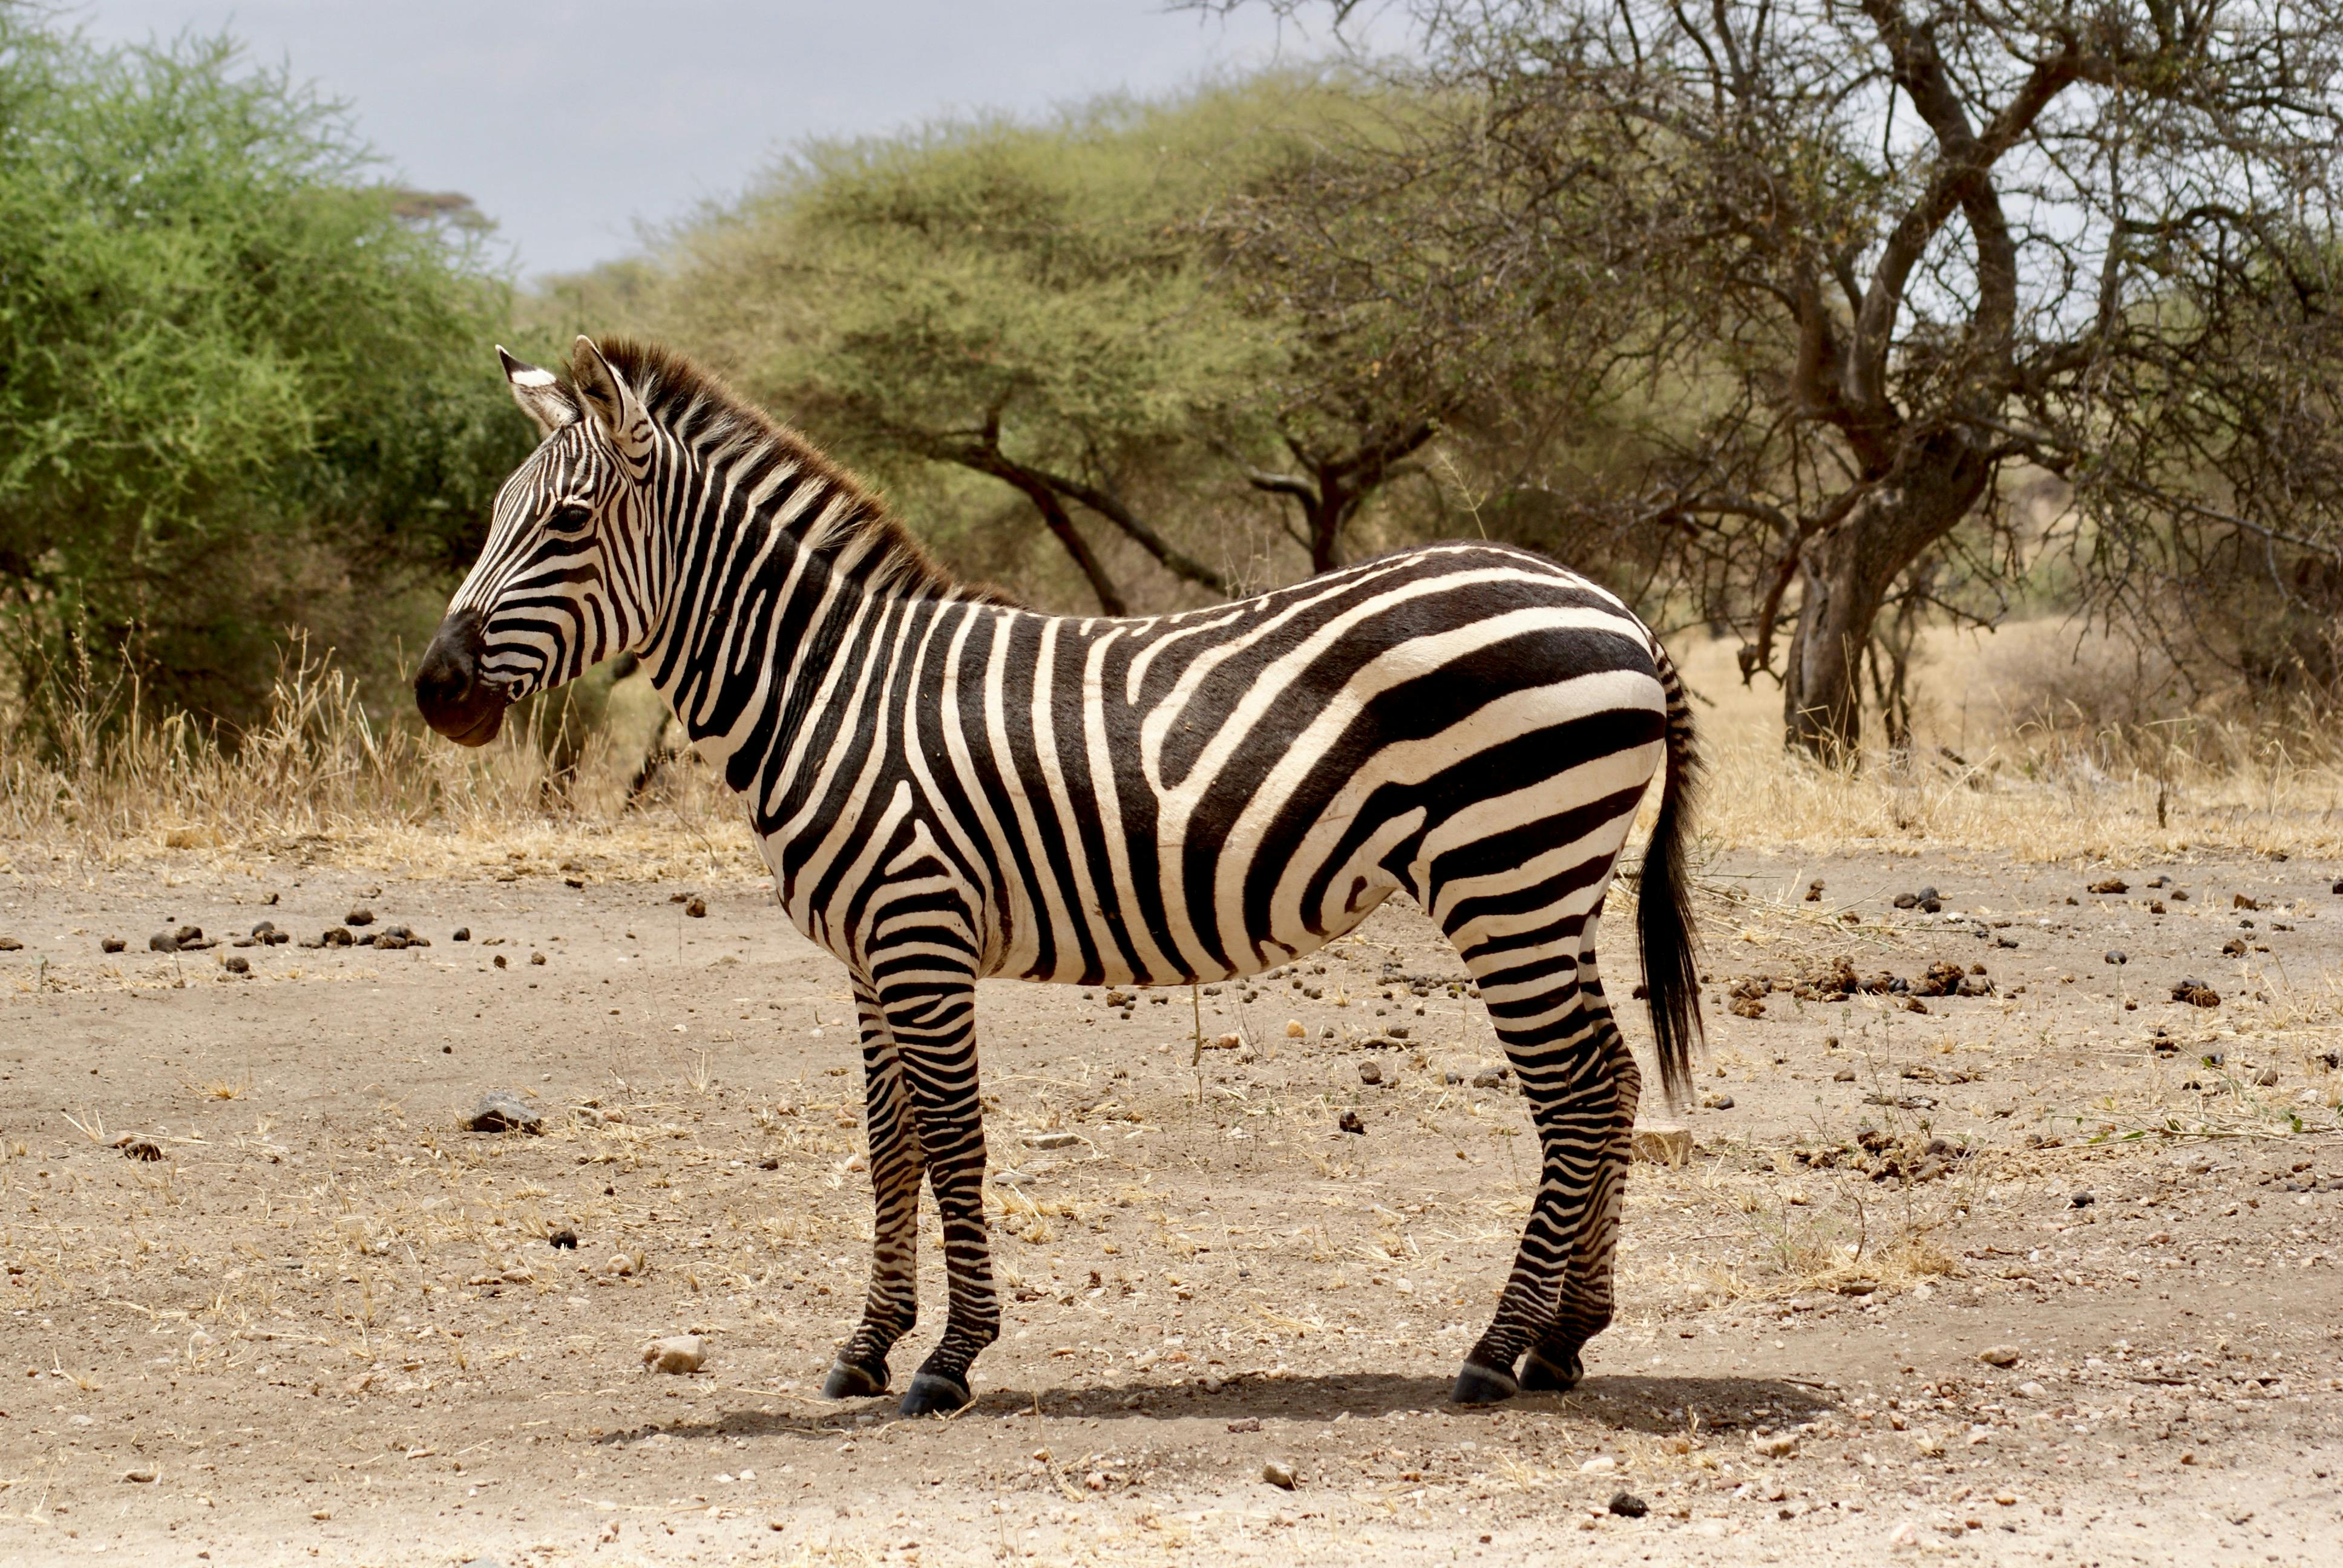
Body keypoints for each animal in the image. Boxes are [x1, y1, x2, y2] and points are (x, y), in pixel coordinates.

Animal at [416, 337, 1704, 1415]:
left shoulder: (918, 931)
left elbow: (952, 1139)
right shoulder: (868, 955)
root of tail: (1621, 612)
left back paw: (1495, 1350)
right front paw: (866, 1346)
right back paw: (1567, 1337)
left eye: (569, 521)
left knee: (1572, 1092)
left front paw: (949, 1359)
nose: (435, 688)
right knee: (1613, 1076)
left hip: (1502, 872)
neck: (822, 683)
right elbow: (889, 1145)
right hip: (1549, 880)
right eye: (495, 517)